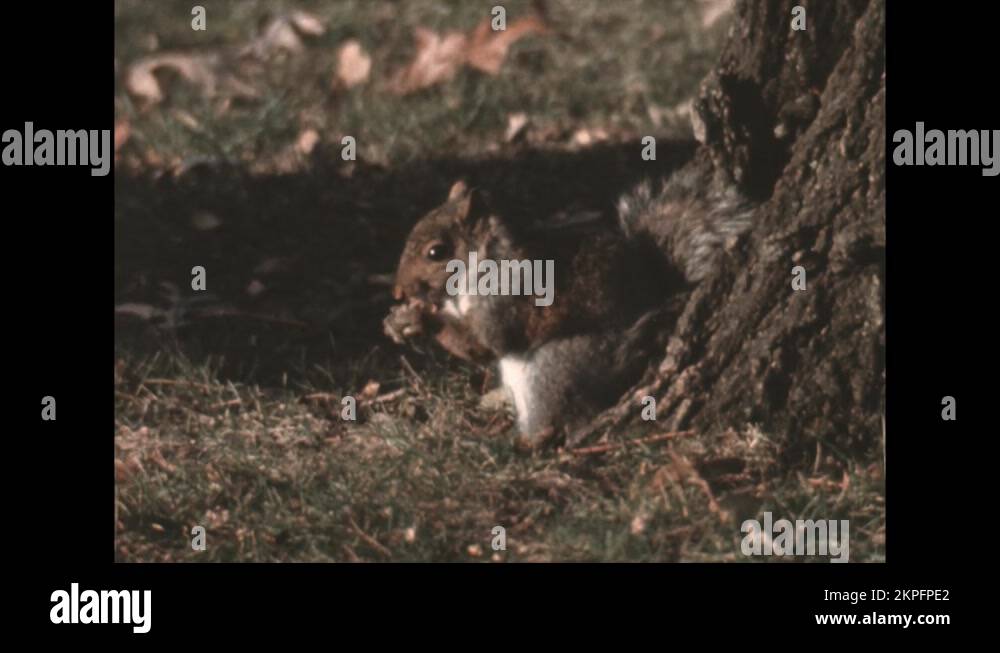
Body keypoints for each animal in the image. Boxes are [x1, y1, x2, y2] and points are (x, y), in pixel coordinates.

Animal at [384, 171, 752, 448]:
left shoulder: (507, 297)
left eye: (436, 252)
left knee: (565, 416)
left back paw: (531, 442)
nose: (398, 291)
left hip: (556, 365)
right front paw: (399, 321)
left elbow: (486, 343)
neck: (484, 264)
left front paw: (421, 316)